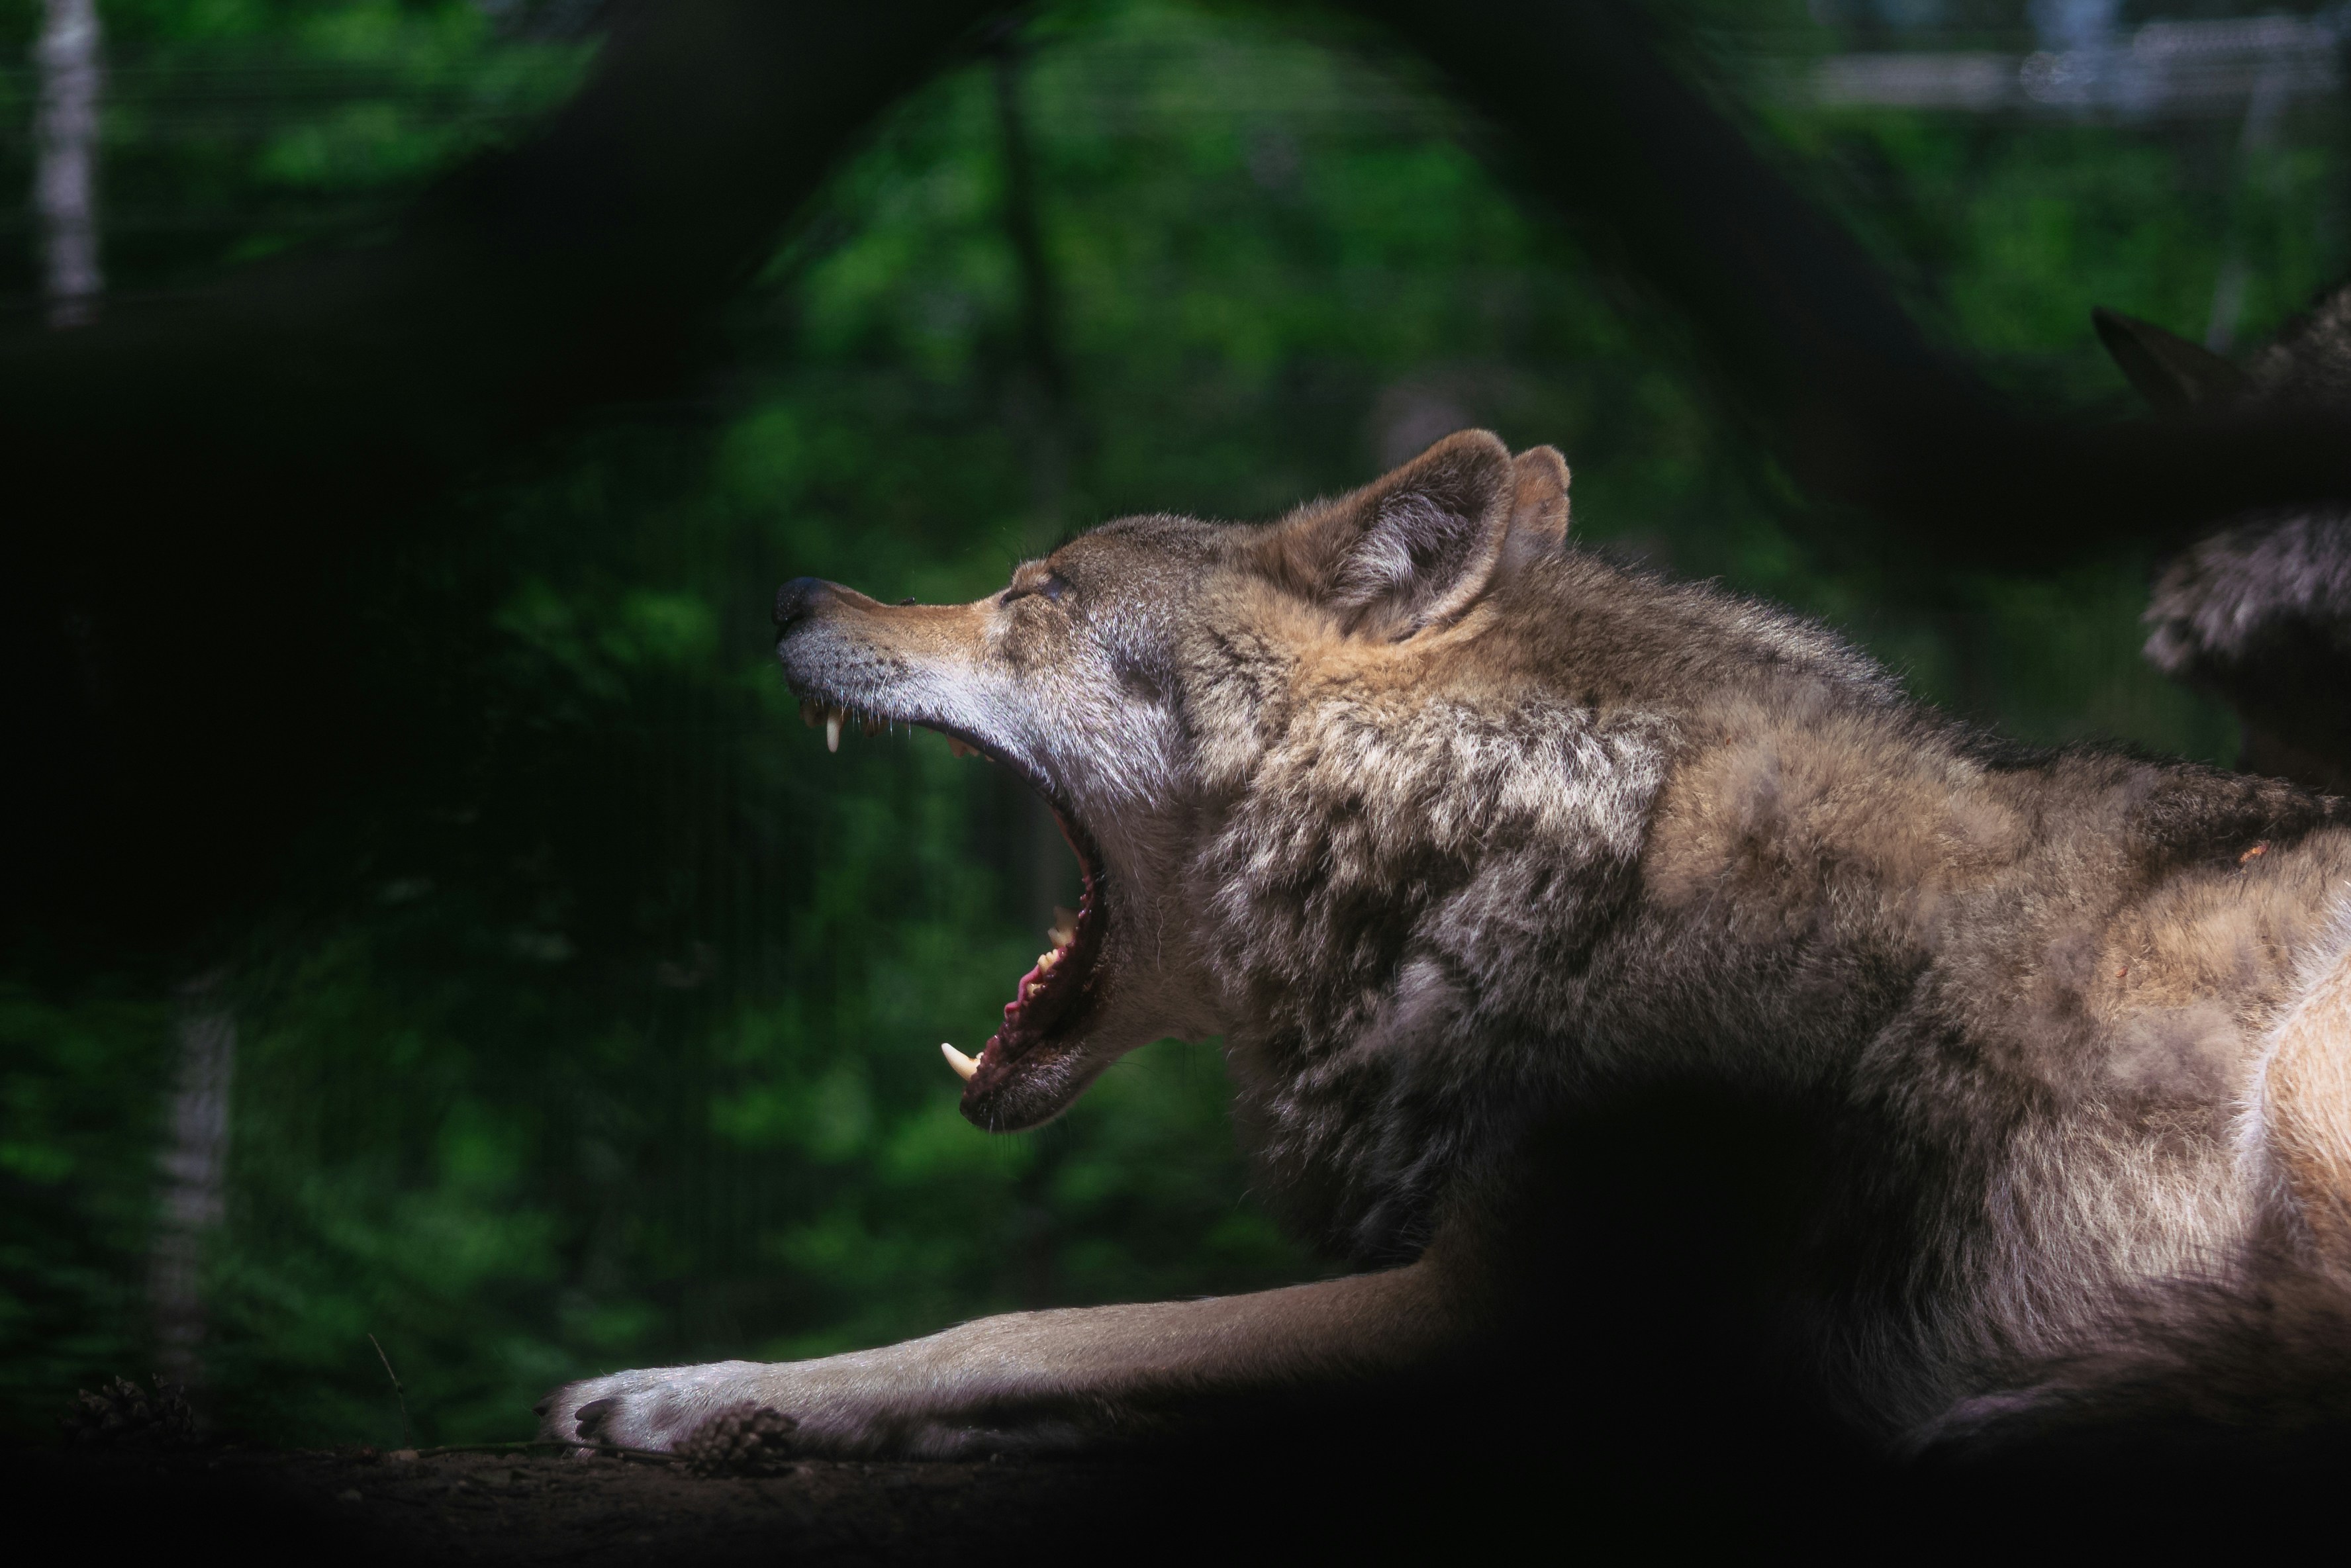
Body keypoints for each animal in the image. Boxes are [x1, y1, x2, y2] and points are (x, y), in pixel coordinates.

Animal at [539, 430, 2351, 1468]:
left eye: (1032, 595)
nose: (787, 591)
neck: (1517, 834)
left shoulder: (1485, 1305)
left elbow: (1018, 1329)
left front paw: (690, 1390)